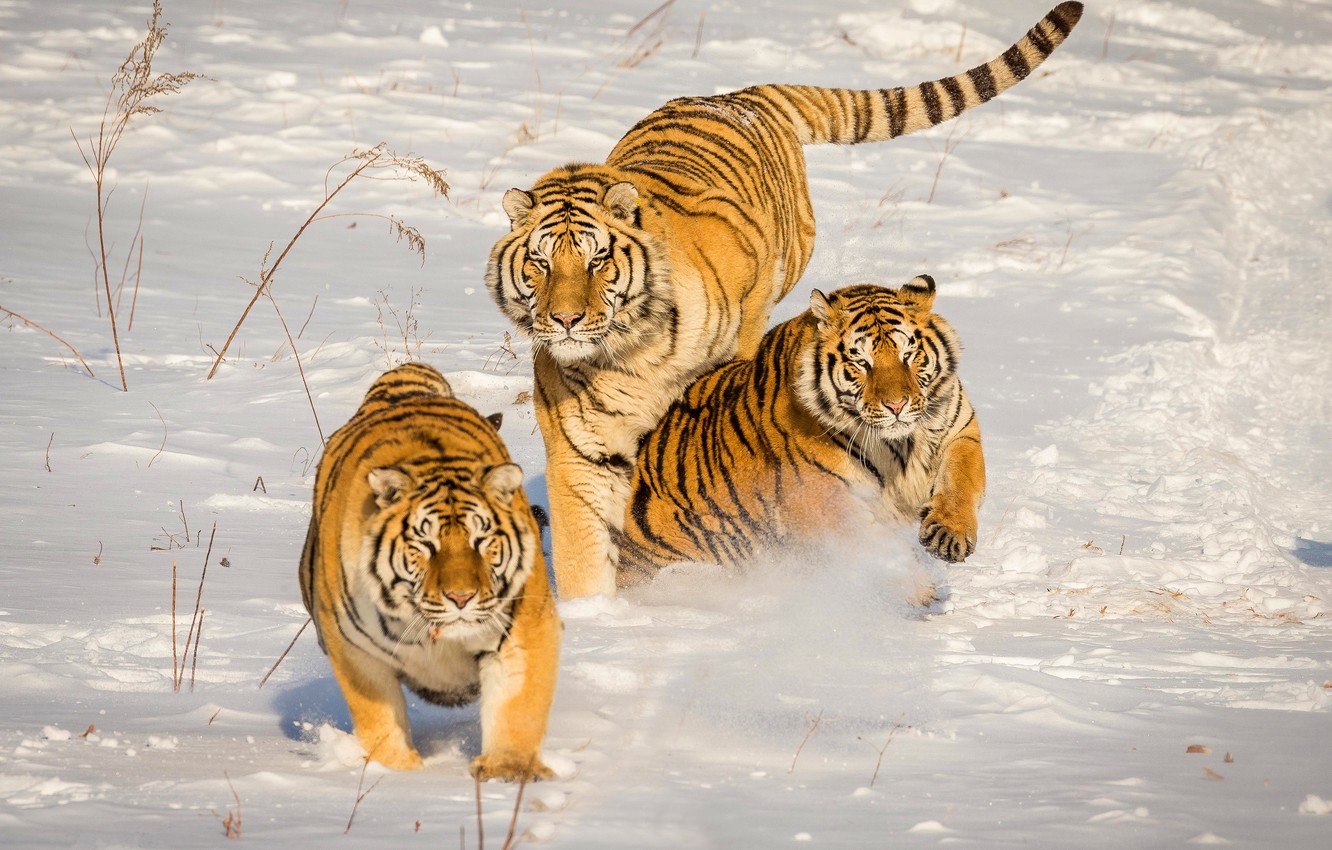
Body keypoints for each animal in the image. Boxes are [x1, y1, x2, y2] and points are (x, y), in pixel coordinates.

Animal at [298, 361, 561, 781]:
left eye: (482, 541)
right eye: (425, 545)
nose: (461, 597)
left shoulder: (524, 622)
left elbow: (519, 702)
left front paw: (509, 772)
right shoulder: (352, 648)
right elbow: (378, 717)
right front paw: (399, 772)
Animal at [617, 276, 984, 584]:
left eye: (909, 354)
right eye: (861, 363)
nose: (898, 405)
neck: (902, 443)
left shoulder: (959, 430)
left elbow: (961, 480)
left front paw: (949, 534)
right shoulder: (817, 496)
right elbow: (861, 545)